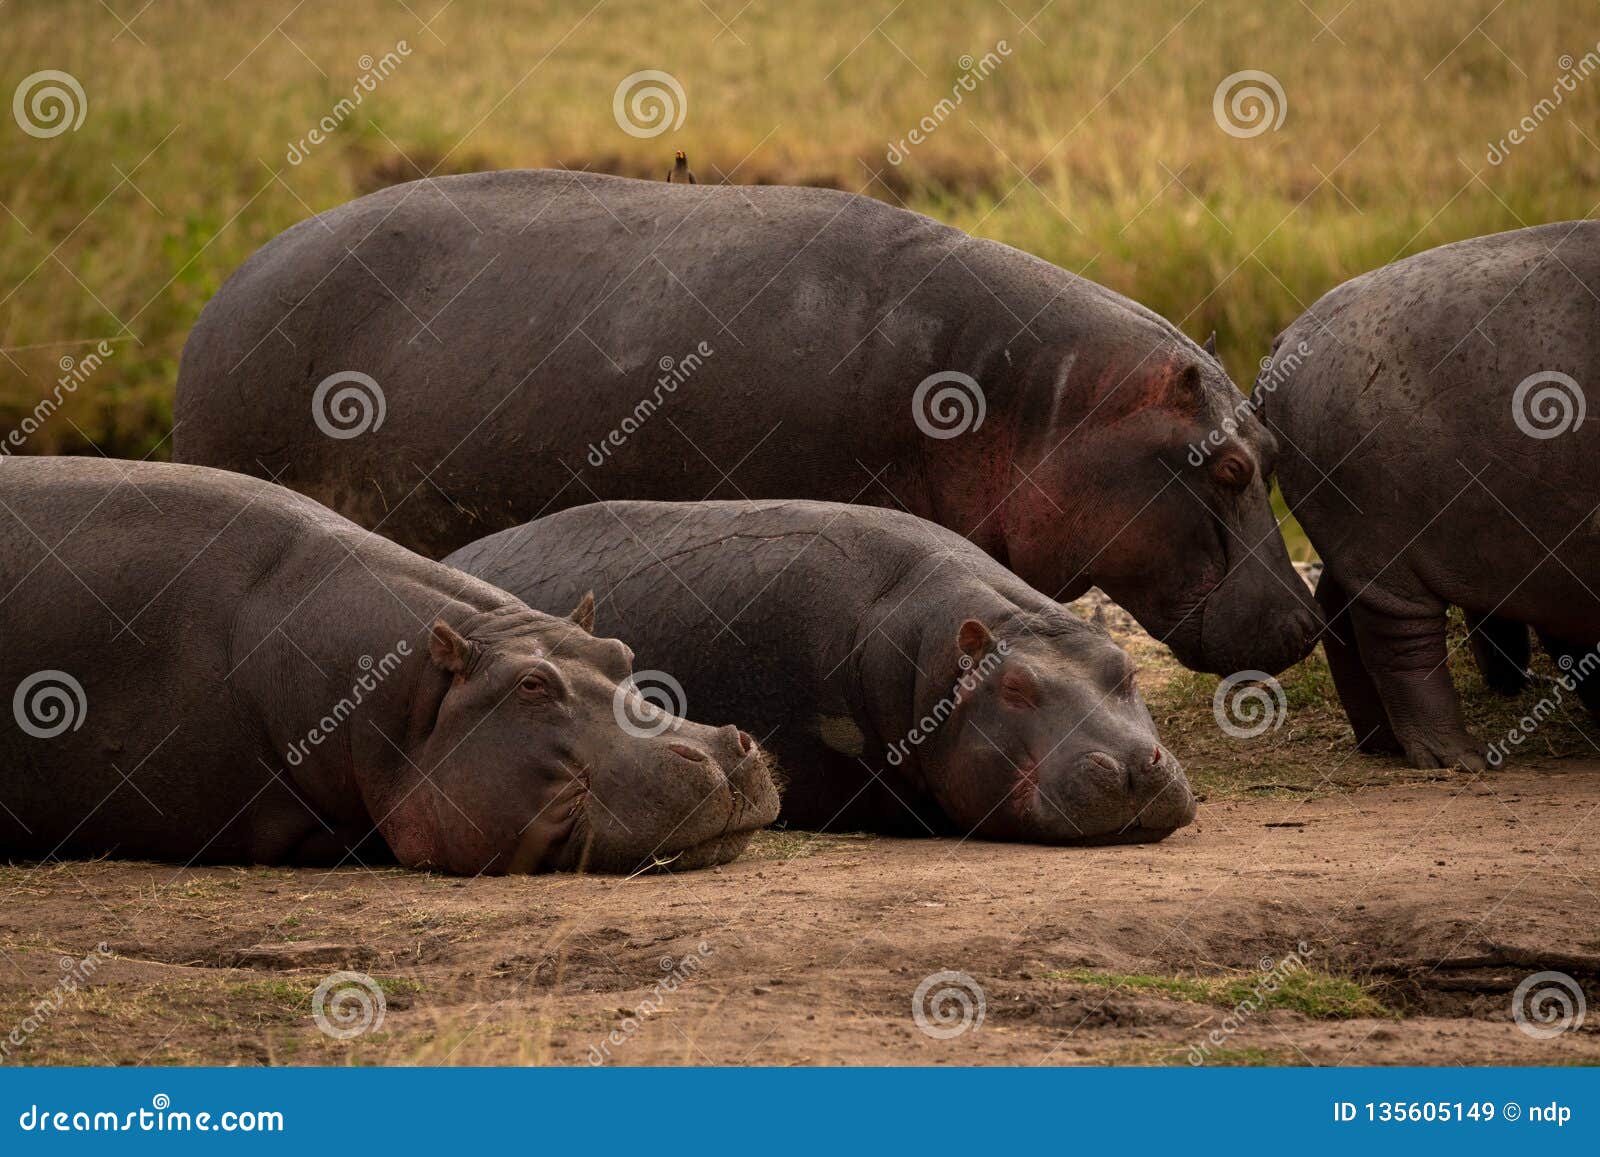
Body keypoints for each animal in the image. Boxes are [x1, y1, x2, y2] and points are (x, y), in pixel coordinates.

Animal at [1258, 220, 1600, 771]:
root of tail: (1290, 336)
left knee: (1338, 612)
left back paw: (1382, 742)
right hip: (1387, 553)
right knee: (1402, 646)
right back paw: (1457, 758)